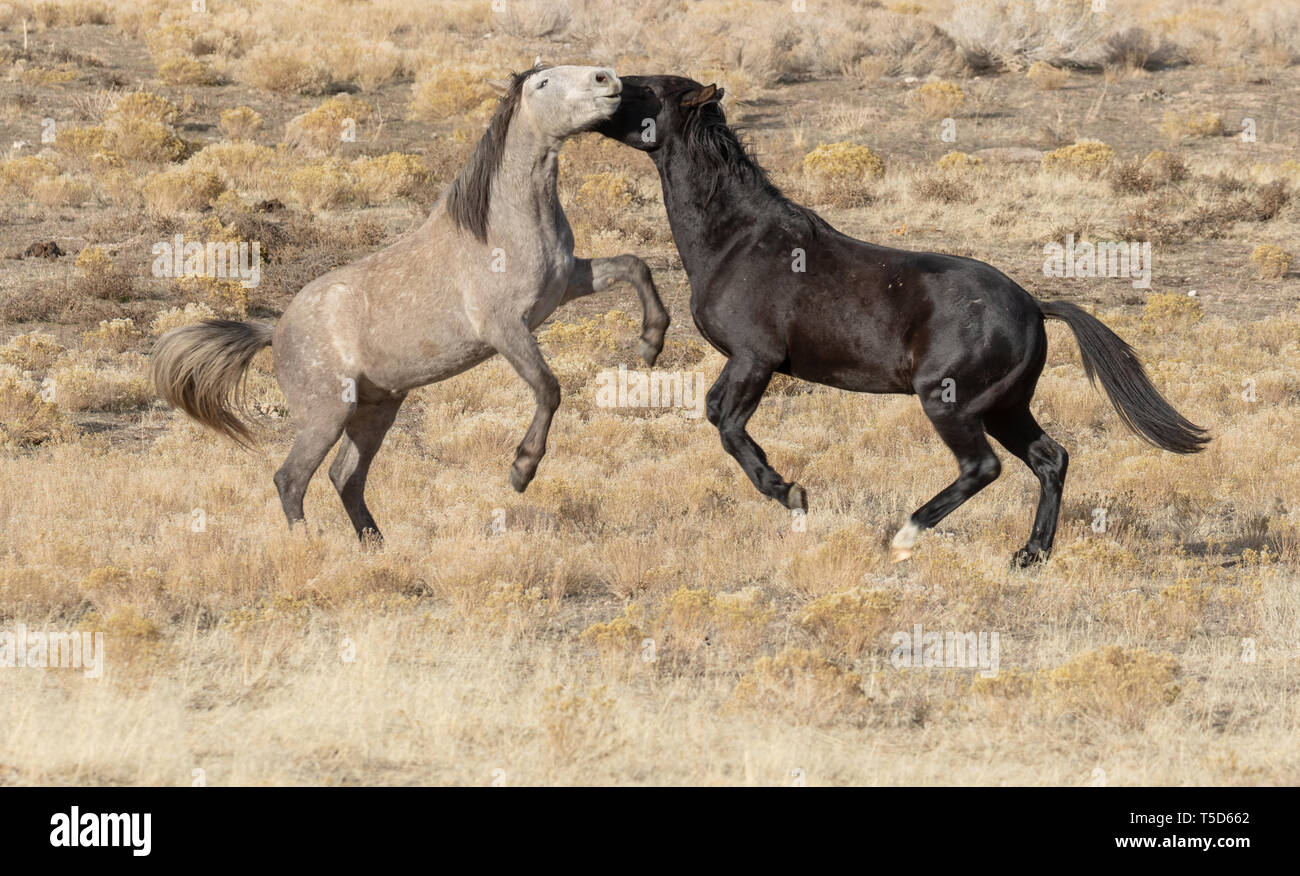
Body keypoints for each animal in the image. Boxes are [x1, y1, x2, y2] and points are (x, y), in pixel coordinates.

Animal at [151, 65, 670, 543]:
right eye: (543, 83)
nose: (607, 79)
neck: (504, 226)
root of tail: (274, 331)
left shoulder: (567, 285)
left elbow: (634, 265)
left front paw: (651, 342)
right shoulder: (505, 327)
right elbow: (549, 388)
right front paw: (522, 470)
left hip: (376, 410)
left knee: (345, 476)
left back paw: (377, 548)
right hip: (326, 415)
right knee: (291, 479)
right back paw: (310, 548)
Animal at [596, 75, 1208, 566]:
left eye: (646, 88)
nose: (602, 88)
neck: (737, 240)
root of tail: (1036, 306)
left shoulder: (756, 360)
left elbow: (727, 426)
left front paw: (792, 495)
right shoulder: (744, 363)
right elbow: (713, 413)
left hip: (949, 403)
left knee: (984, 467)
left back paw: (906, 536)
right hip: (1006, 407)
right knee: (1050, 459)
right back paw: (1029, 554)